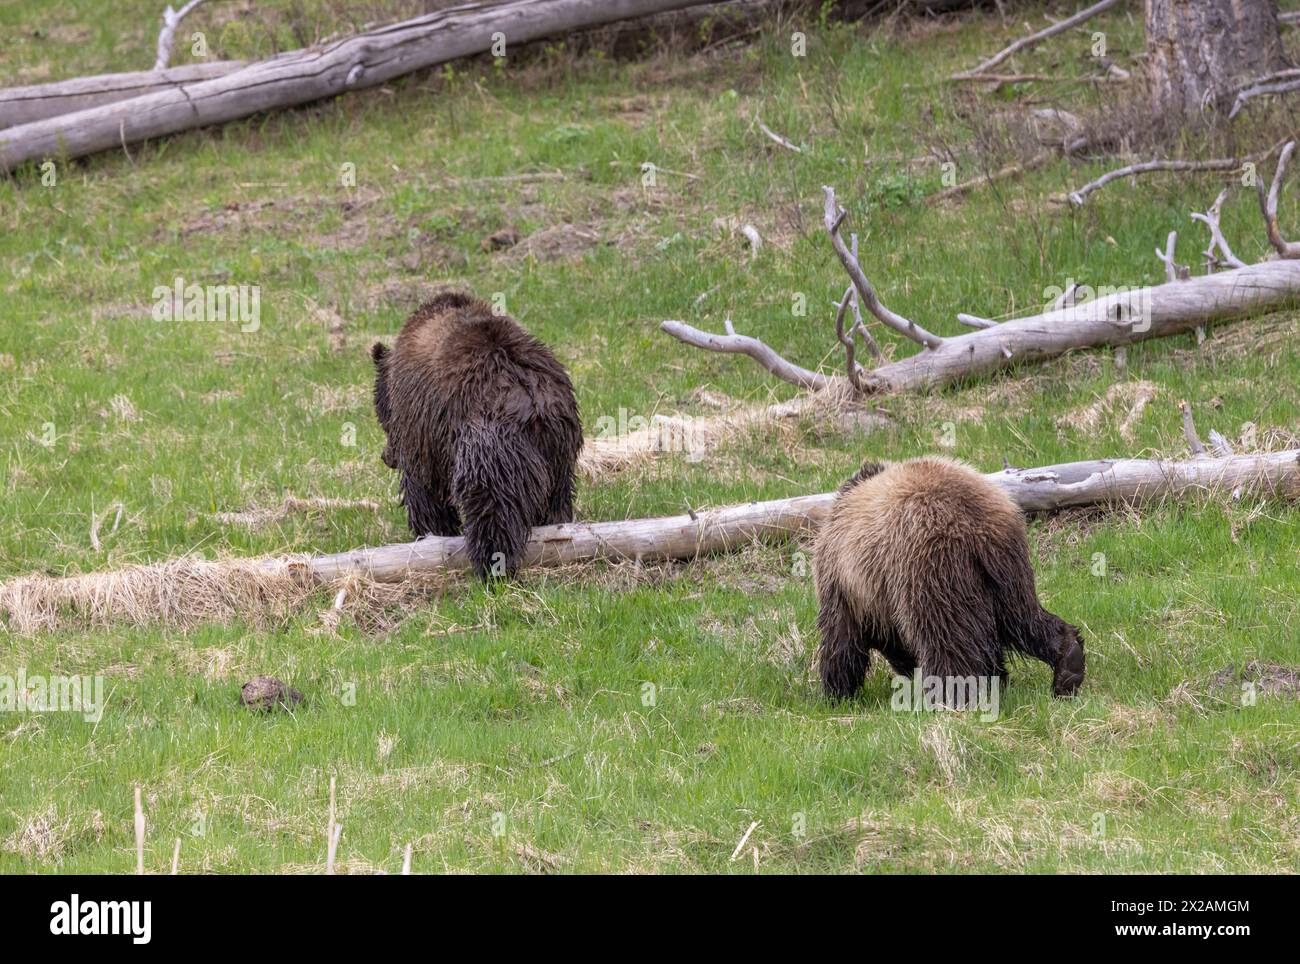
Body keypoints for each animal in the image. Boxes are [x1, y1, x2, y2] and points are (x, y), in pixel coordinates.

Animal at [371, 291, 582, 578]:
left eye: (381, 414)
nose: (386, 456)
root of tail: (534, 400)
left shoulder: (421, 432)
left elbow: (423, 489)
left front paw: (430, 532)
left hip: (492, 446)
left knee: (493, 507)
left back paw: (491, 568)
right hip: (559, 451)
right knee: (556, 498)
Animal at [813, 456, 1085, 700]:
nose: (909, 669)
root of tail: (976, 526)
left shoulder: (841, 580)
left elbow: (841, 637)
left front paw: (835, 692)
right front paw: (996, 677)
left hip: (930, 566)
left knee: (945, 633)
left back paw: (948, 695)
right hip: (1008, 568)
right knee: (1022, 617)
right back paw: (1068, 664)